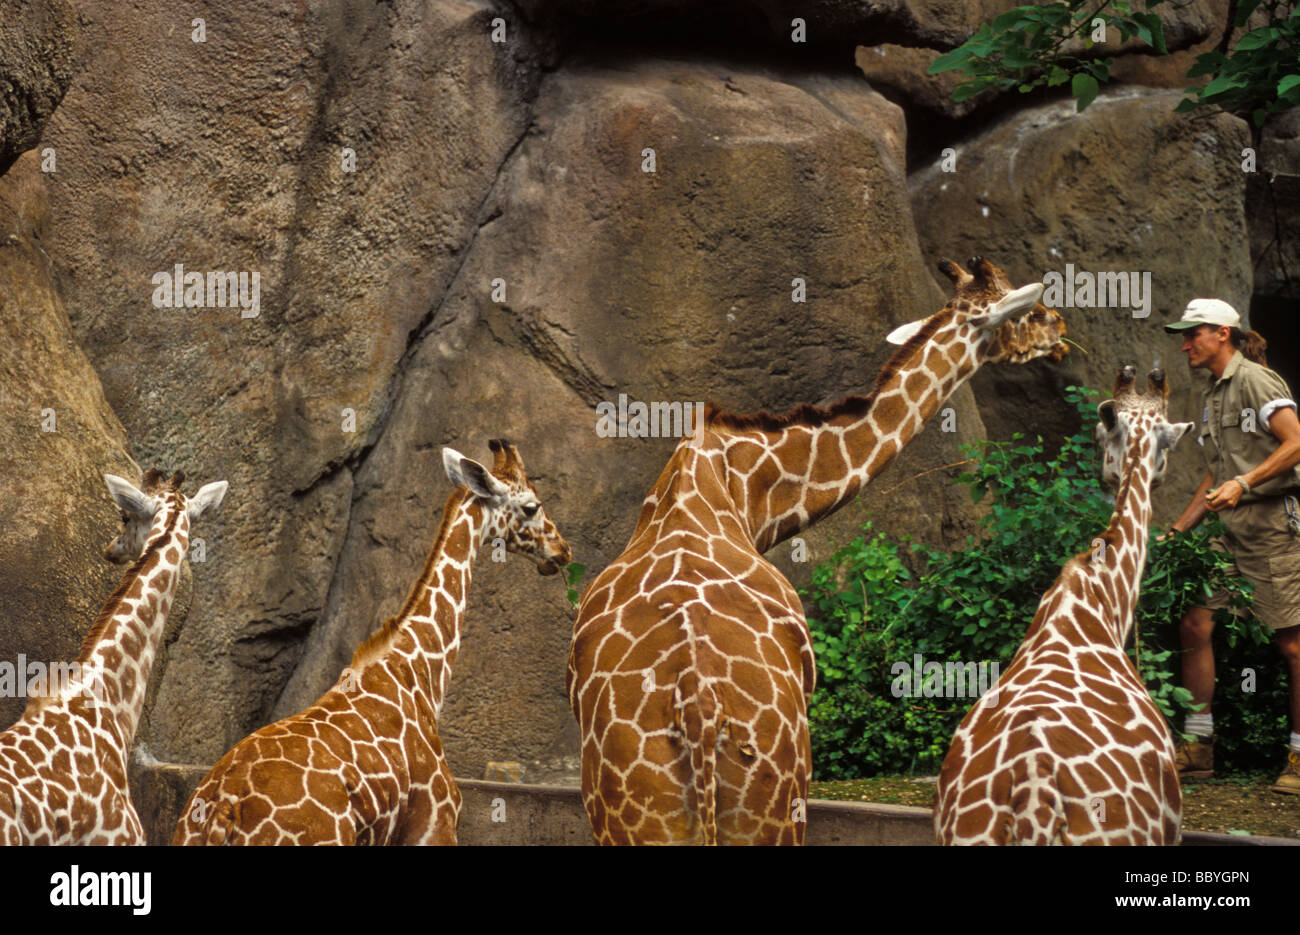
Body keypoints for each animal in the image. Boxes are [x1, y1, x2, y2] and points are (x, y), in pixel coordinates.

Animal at [569, 257, 1070, 844]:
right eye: (1024, 309)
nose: (1060, 329)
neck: (743, 488)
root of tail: (699, 710)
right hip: (782, 808)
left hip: (644, 824)